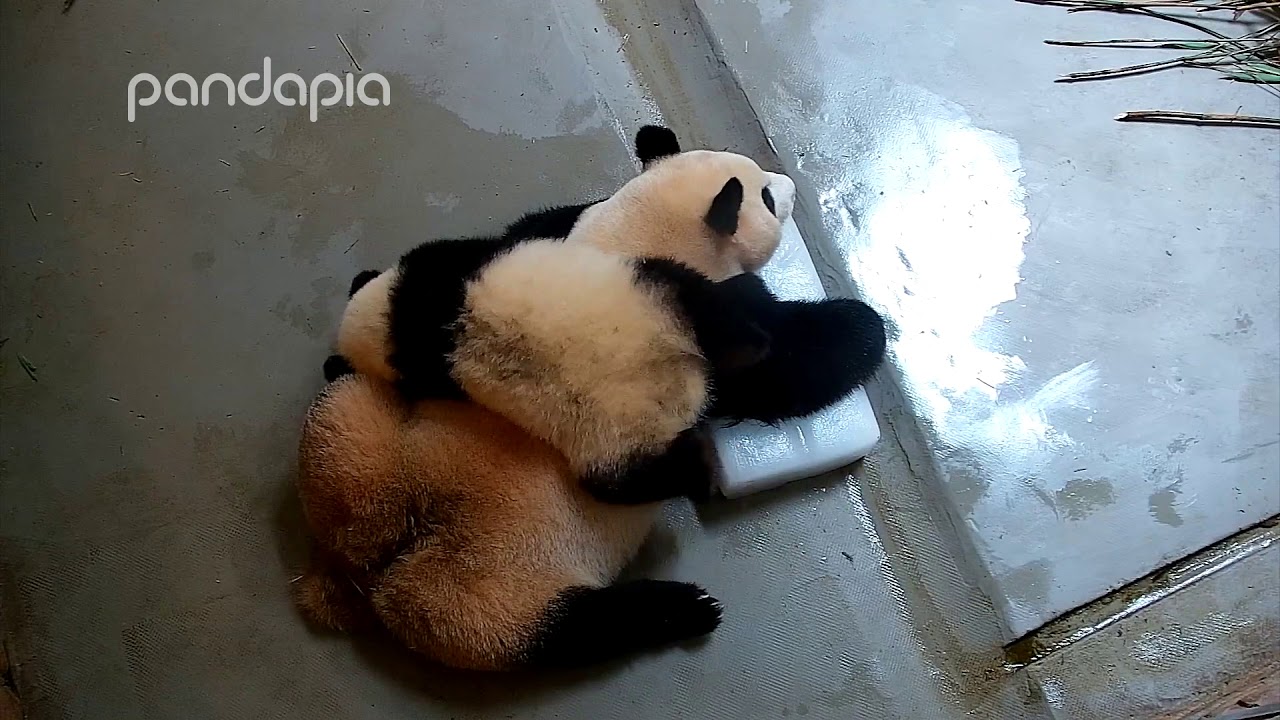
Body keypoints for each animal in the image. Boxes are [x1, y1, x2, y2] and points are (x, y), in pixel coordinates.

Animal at [295, 373, 722, 671]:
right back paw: (685, 607)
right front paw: (699, 462)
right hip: (482, 609)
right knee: (580, 628)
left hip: (358, 449)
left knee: (348, 400)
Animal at [332, 125, 886, 502]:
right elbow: (787, 364)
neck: (635, 230)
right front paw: (864, 328)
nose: (787, 182)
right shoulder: (698, 301)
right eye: (768, 199)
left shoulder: (538, 239)